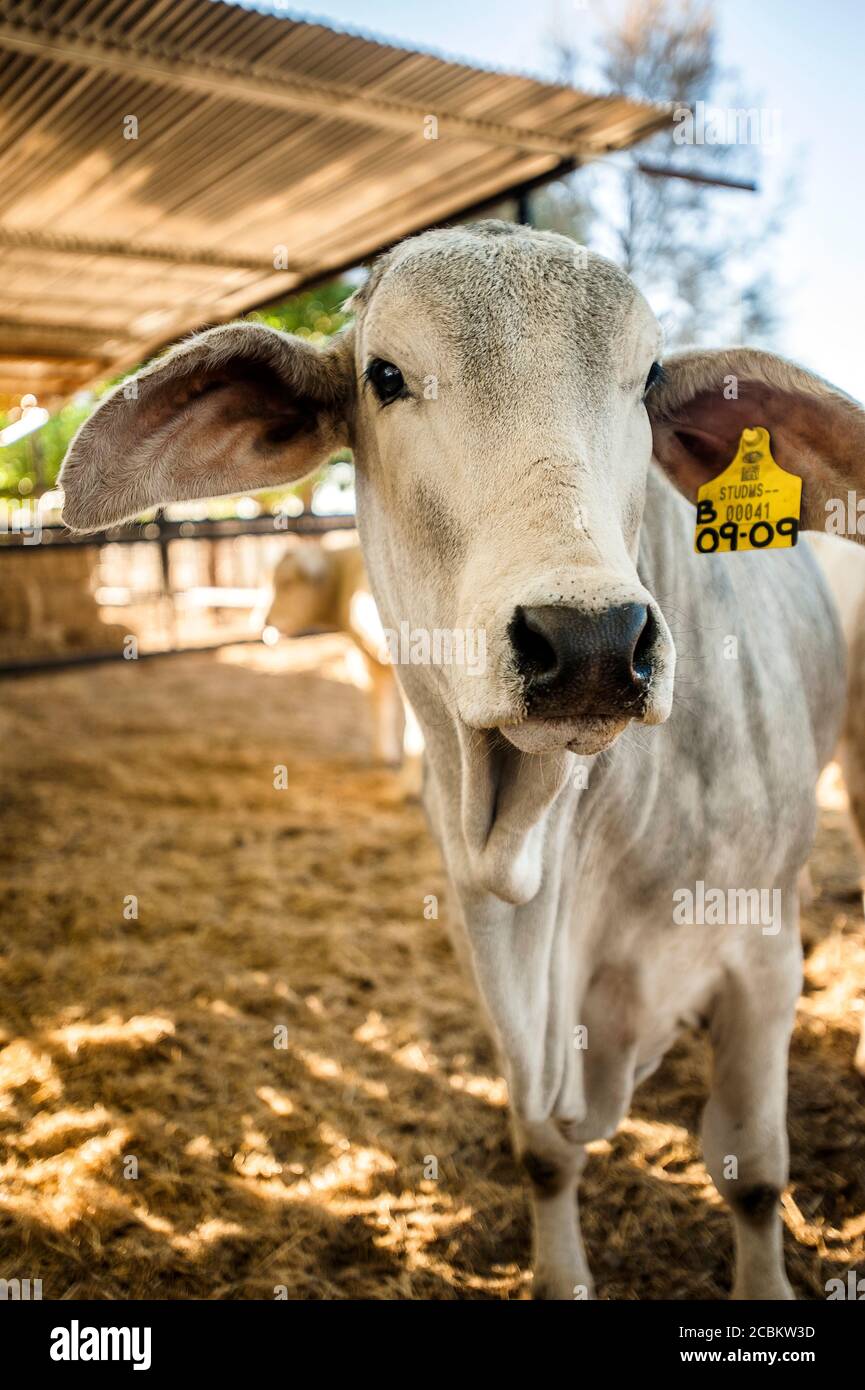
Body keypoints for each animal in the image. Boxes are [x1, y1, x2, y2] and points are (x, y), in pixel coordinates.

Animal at [58, 221, 865, 1300]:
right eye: (386, 376)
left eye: (648, 376)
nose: (593, 640)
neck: (557, 852)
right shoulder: (493, 965)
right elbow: (545, 1157)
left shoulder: (761, 958)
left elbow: (751, 1171)